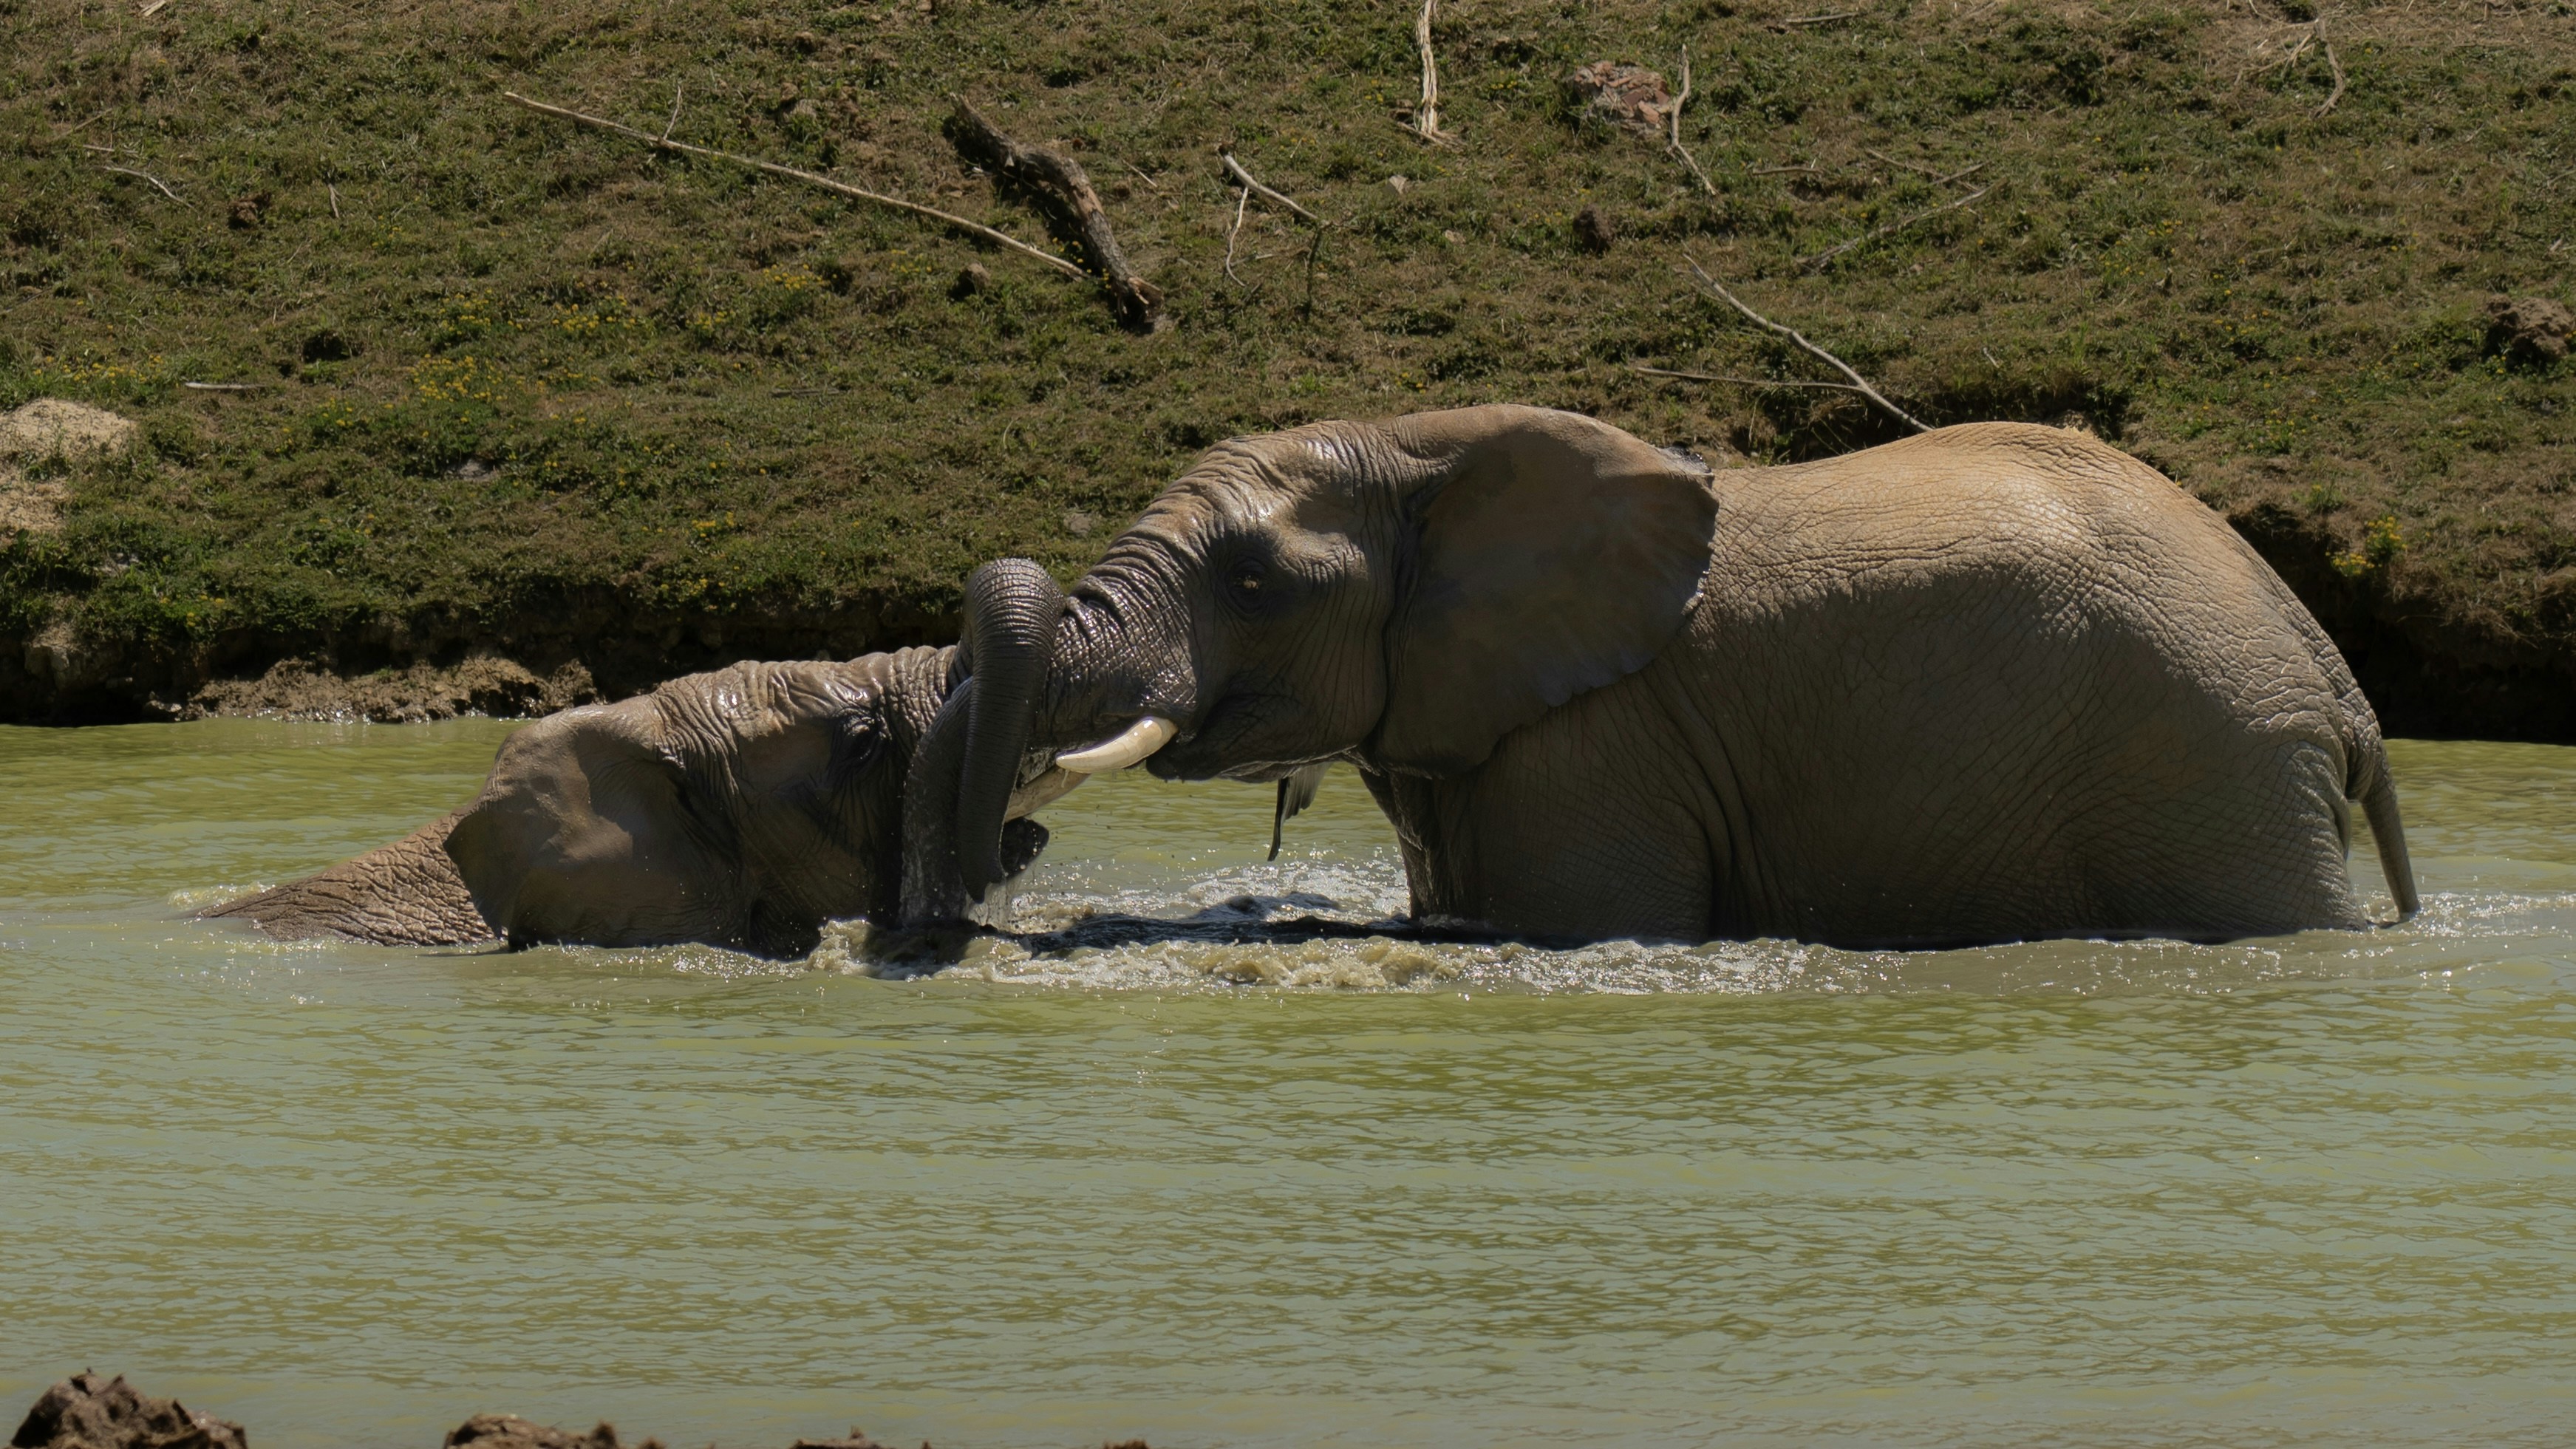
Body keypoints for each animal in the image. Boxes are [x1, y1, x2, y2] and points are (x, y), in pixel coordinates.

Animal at [906, 404, 2419, 948]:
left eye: (1256, 586)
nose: (988, 885)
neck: (1424, 441)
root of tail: (2335, 677)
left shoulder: (1601, 741)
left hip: (2208, 765)